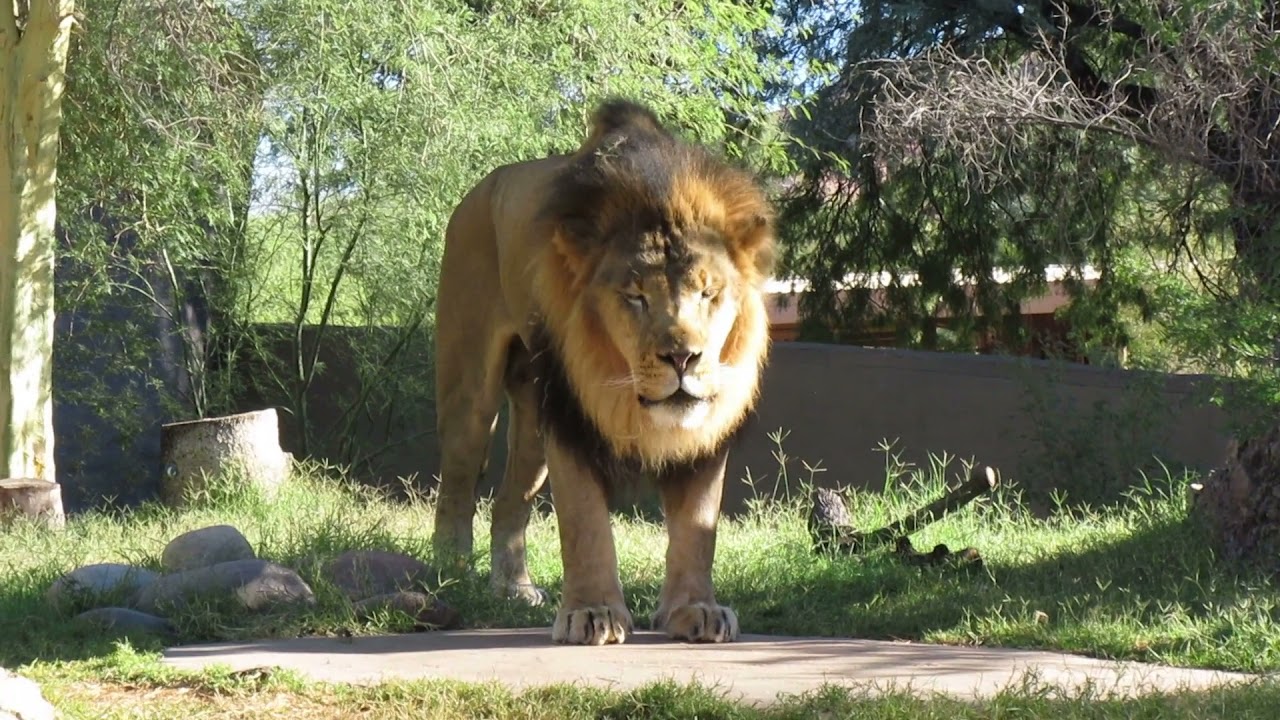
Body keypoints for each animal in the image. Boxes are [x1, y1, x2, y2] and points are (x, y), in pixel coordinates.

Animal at [429, 98, 775, 645]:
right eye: (635, 296)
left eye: (708, 292)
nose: (684, 358)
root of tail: (477, 192)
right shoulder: (569, 415)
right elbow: (584, 521)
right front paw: (591, 613)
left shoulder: (708, 432)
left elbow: (698, 525)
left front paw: (695, 609)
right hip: (471, 387)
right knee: (459, 479)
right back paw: (451, 575)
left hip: (532, 419)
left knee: (510, 501)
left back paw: (513, 588)